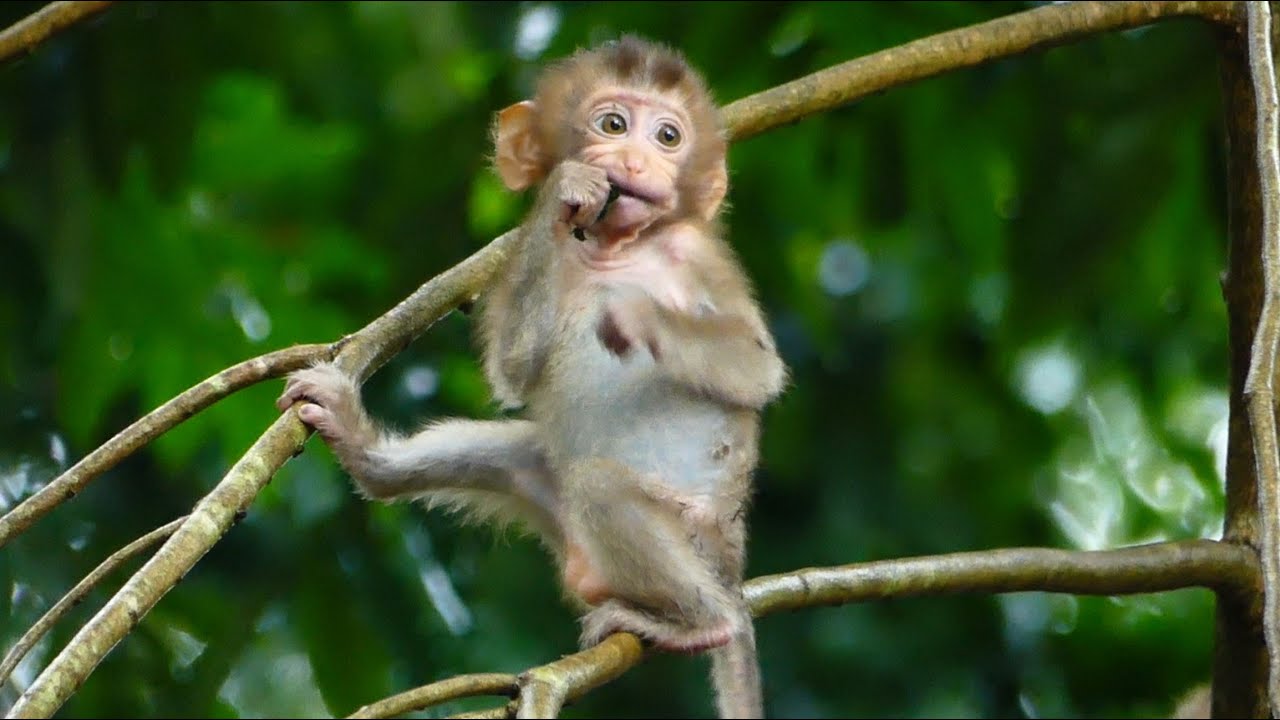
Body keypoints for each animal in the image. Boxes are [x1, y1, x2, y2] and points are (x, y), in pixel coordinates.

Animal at [277, 36, 787, 719]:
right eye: (612, 124)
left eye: (668, 136)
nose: (634, 159)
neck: (616, 248)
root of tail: (731, 569)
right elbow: (515, 370)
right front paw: (562, 196)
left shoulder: (698, 256)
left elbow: (758, 369)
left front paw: (634, 312)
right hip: (557, 505)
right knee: (516, 455)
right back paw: (367, 455)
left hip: (694, 537)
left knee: (600, 484)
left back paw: (701, 623)